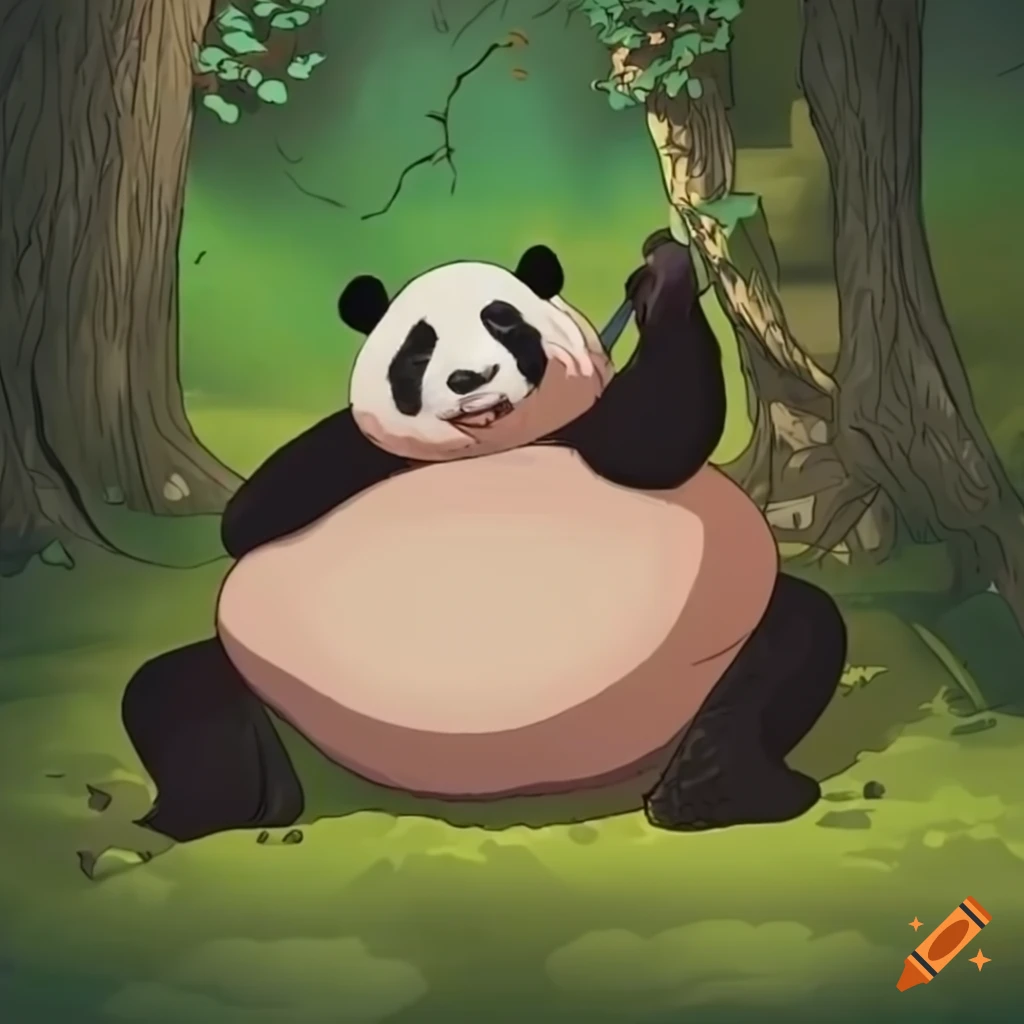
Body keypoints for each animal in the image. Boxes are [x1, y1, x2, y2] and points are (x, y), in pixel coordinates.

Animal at [121, 232, 847, 843]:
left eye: (504, 322)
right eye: (419, 350)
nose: (469, 381)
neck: (493, 447)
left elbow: (656, 440)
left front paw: (663, 268)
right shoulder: (347, 461)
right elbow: (246, 517)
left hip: (723, 637)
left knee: (795, 645)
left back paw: (708, 793)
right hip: (253, 667)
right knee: (168, 691)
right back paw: (200, 813)